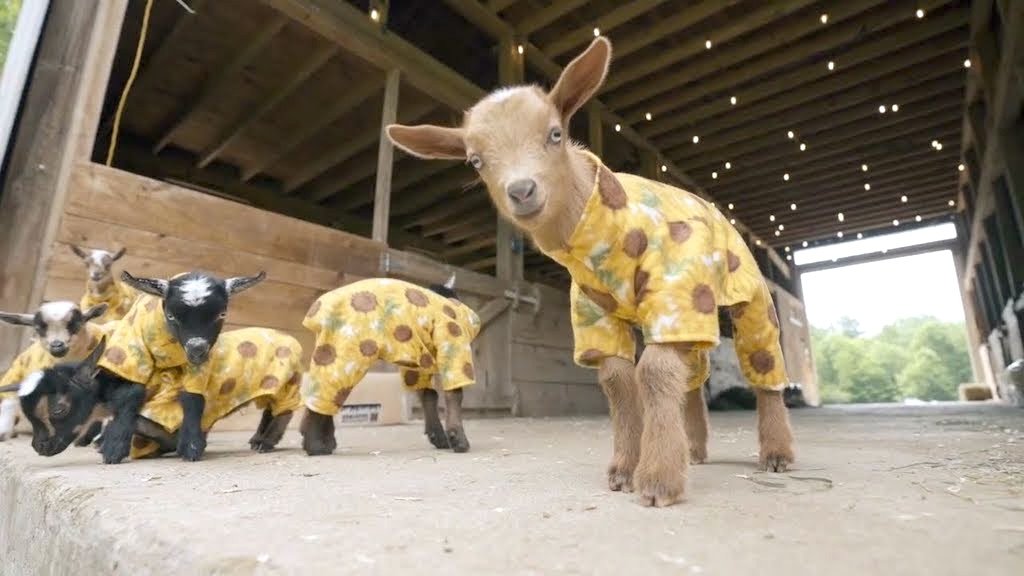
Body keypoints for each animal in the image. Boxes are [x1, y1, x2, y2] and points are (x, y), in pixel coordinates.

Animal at [300, 278, 481, 456]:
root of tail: (319, 308)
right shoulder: (453, 342)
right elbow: (454, 394)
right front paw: (458, 439)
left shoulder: (417, 365)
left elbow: (429, 394)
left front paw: (439, 437)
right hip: (346, 349)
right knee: (325, 394)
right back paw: (315, 446)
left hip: (329, 348)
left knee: (319, 396)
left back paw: (322, 440)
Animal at [387, 37, 795, 507]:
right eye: (474, 160)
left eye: (555, 134)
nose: (522, 191)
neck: (604, 227)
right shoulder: (595, 311)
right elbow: (619, 380)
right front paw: (625, 470)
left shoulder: (673, 287)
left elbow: (653, 373)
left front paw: (657, 480)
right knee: (694, 375)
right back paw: (694, 449)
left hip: (741, 291)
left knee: (763, 363)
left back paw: (776, 453)